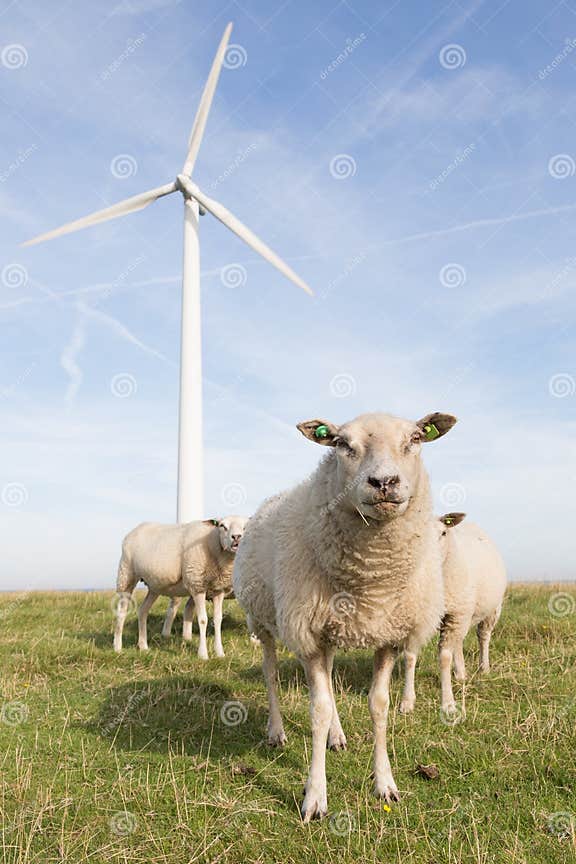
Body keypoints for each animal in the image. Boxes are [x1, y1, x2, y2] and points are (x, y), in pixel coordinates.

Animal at [113, 515, 248, 658]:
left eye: (245, 527)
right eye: (222, 526)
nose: (236, 537)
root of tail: (136, 529)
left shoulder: (219, 590)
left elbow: (218, 620)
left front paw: (220, 653)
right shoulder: (197, 585)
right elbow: (203, 620)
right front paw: (203, 654)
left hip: (154, 587)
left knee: (143, 611)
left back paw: (144, 646)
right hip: (126, 575)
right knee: (122, 612)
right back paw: (117, 647)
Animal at [232, 411, 457, 821]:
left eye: (416, 438)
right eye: (341, 443)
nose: (384, 482)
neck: (371, 582)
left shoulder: (387, 635)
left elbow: (379, 707)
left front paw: (385, 784)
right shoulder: (307, 635)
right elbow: (318, 709)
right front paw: (315, 797)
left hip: (332, 631)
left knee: (331, 674)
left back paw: (337, 737)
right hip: (264, 621)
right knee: (271, 674)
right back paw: (276, 731)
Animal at [400, 512, 507, 716]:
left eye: (443, 533)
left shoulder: (457, 614)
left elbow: (444, 658)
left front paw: (448, 704)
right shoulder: (416, 619)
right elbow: (409, 656)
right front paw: (407, 702)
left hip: (489, 608)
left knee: (483, 636)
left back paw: (484, 667)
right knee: (458, 642)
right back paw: (461, 673)